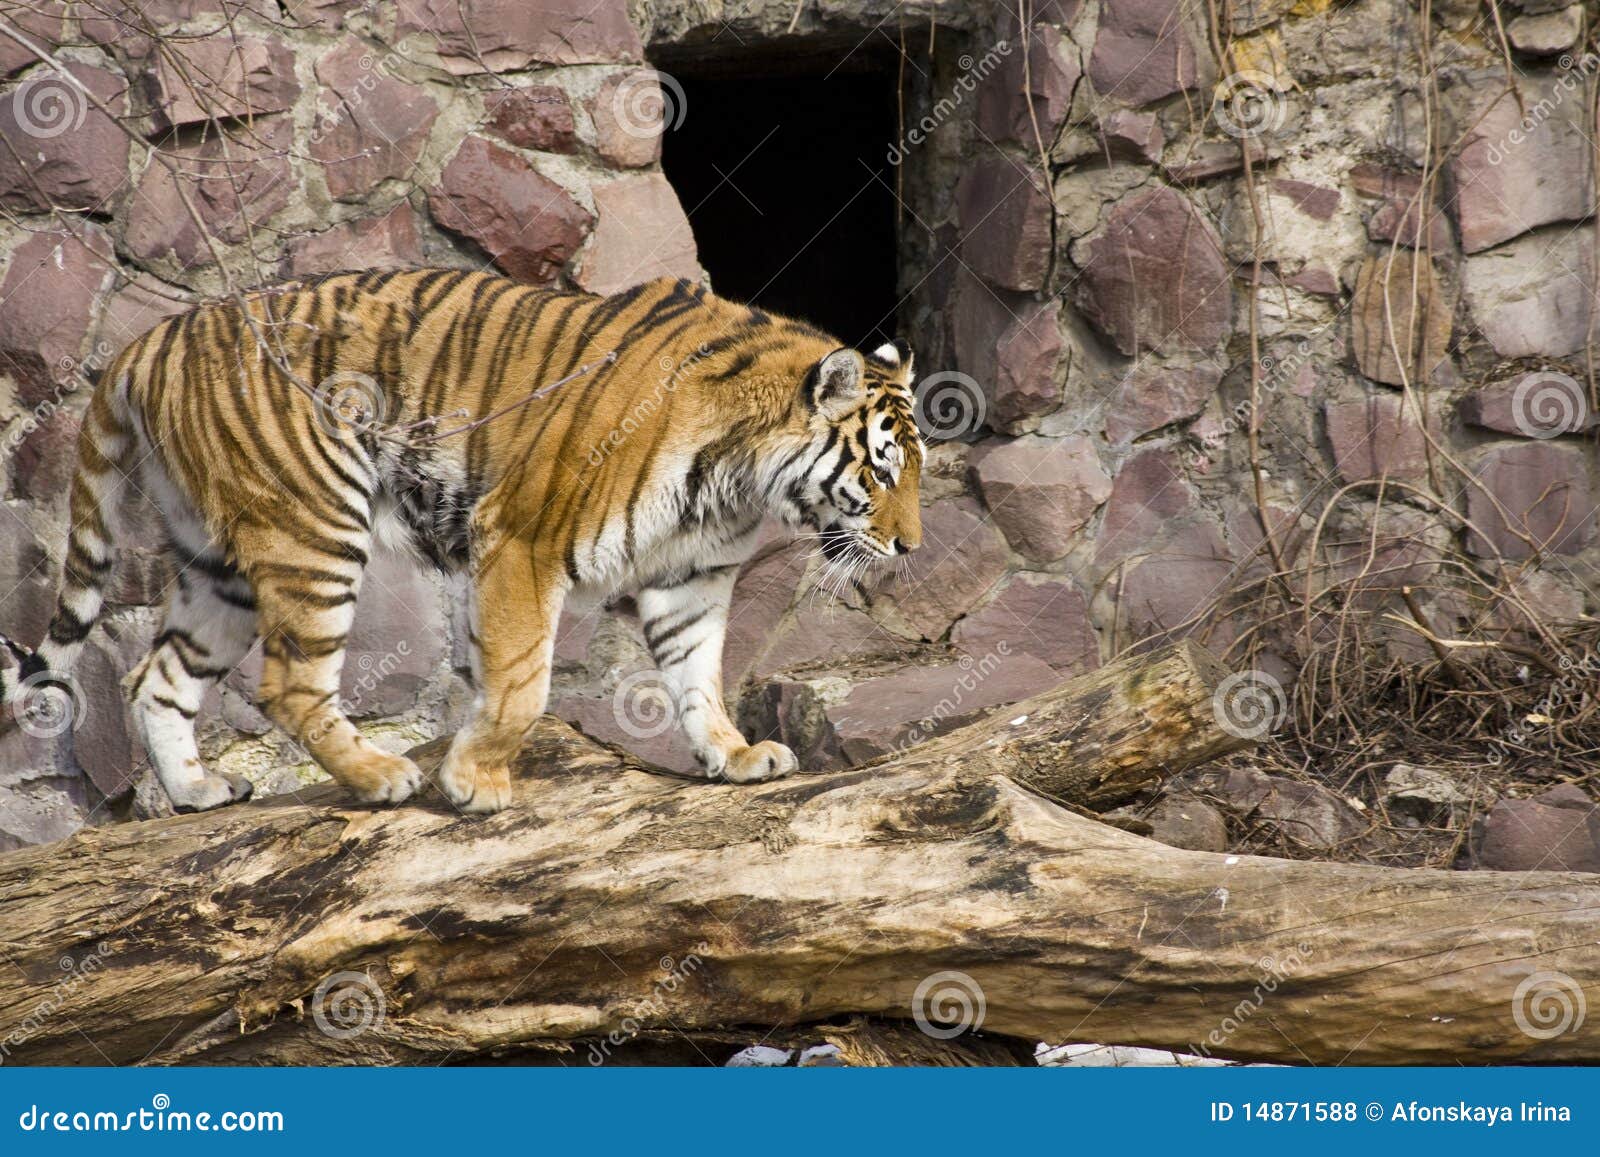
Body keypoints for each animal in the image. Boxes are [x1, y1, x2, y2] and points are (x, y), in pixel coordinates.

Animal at [0, 270, 924, 814]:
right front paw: (473, 781)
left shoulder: (691, 576)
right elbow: (523, 685)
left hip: (215, 562)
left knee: (156, 677)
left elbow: (699, 676)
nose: (913, 547)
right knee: (288, 685)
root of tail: (149, 339)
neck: (735, 474)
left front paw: (733, 756)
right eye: (880, 471)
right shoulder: (523, 539)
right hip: (314, 525)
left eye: (917, 468)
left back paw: (197, 790)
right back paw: (380, 776)